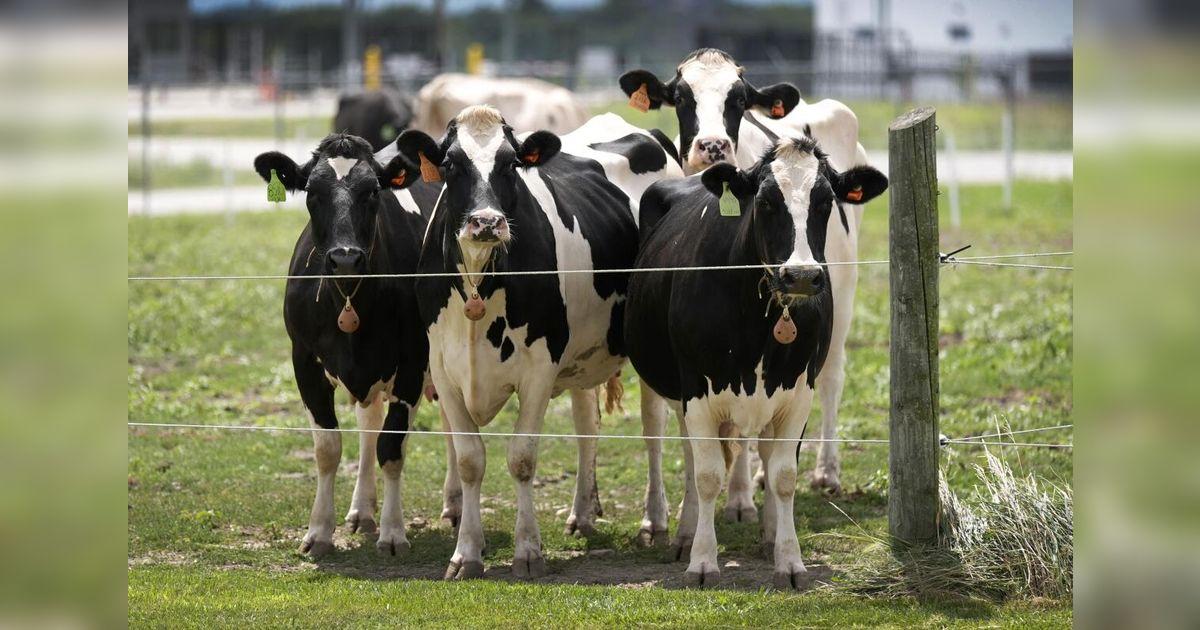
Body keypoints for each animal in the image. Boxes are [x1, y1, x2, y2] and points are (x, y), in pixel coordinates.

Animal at [253, 133, 441, 558]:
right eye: (312, 192)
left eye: (372, 192)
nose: (345, 258)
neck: (350, 298)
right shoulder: (304, 360)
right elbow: (328, 448)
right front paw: (319, 532)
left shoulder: (412, 361)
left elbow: (392, 447)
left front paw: (393, 532)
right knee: (368, 426)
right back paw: (362, 510)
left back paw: (453, 508)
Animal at [386, 104, 682, 579]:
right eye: (450, 165)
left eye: (510, 163)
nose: (486, 222)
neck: (479, 281)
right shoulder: (445, 370)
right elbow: (470, 460)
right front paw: (466, 553)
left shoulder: (540, 369)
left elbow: (522, 458)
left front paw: (527, 551)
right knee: (586, 425)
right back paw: (582, 513)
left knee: (653, 428)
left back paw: (653, 521)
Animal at [620, 48, 880, 506]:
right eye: (681, 97)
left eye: (738, 100)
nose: (713, 146)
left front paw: (740, 496)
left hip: (845, 292)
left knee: (832, 377)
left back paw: (825, 471)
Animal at [625, 136, 888, 589]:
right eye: (764, 201)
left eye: (825, 201)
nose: (801, 276)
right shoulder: (696, 389)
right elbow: (707, 475)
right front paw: (702, 561)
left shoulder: (798, 392)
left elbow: (783, 475)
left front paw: (789, 559)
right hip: (672, 389)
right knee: (688, 454)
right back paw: (684, 534)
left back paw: (766, 534)